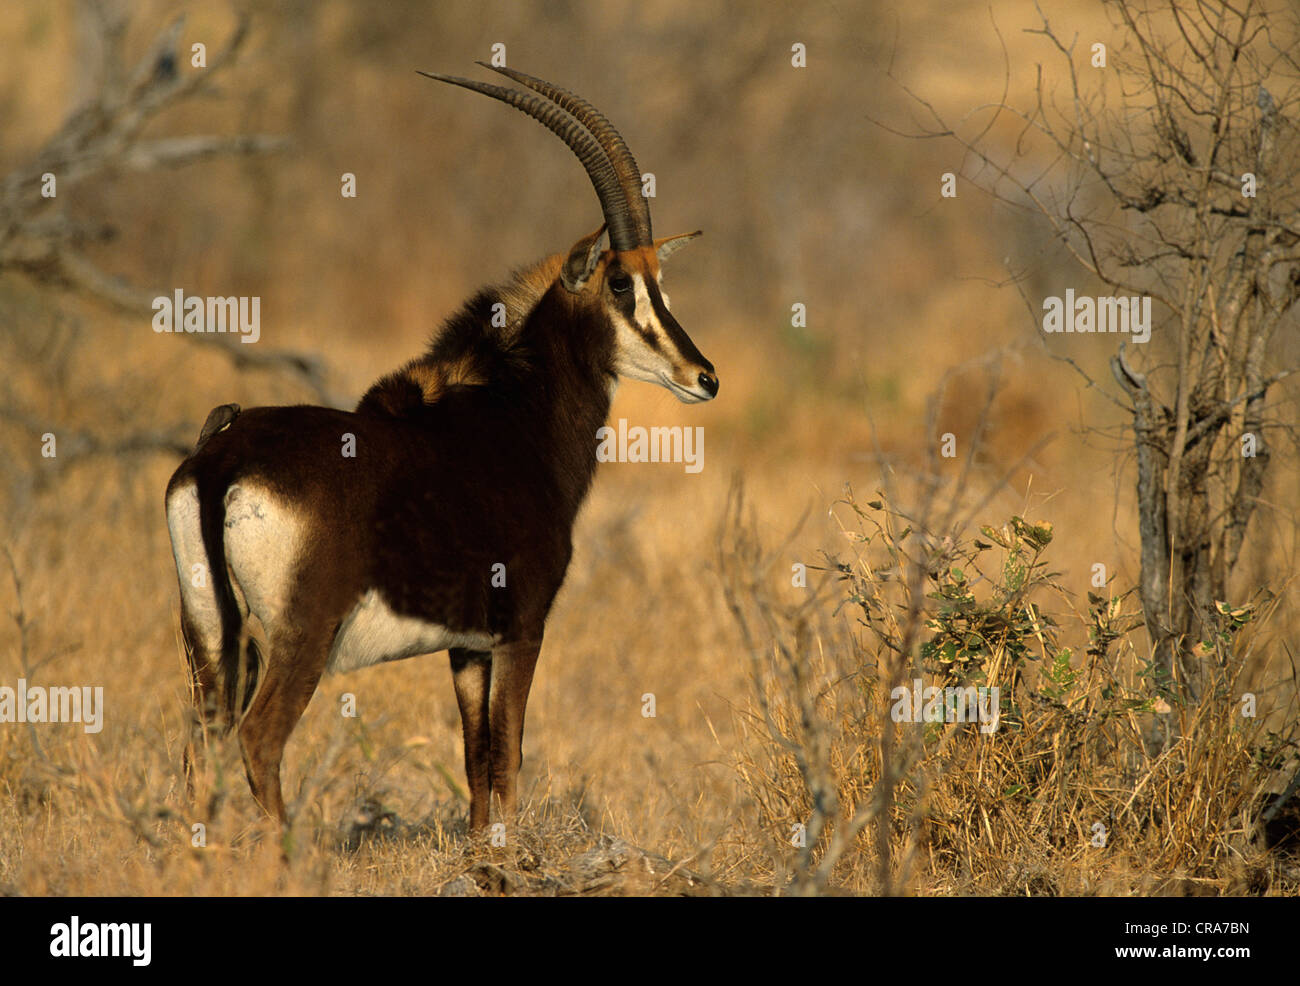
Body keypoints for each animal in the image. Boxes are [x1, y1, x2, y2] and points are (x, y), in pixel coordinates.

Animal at [165, 64, 717, 832]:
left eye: (660, 281)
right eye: (618, 282)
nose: (704, 377)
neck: (513, 418)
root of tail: (221, 460)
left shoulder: (466, 648)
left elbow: (476, 761)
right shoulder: (522, 631)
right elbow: (508, 756)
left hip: (211, 640)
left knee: (202, 745)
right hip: (299, 638)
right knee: (259, 738)